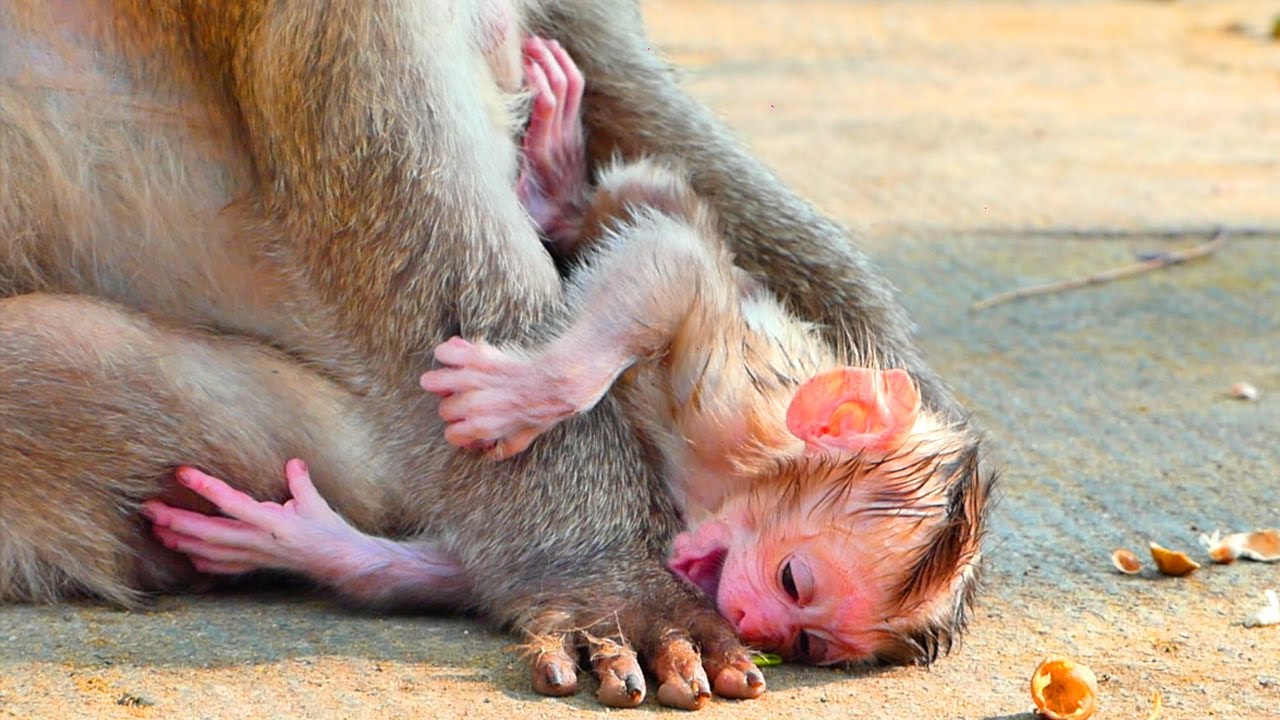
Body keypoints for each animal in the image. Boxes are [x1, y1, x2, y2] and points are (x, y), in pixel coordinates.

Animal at [0, 0, 995, 709]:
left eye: (808, 633)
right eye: (792, 578)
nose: (757, 615)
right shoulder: (724, 396)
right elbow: (663, 272)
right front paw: (601, 568)